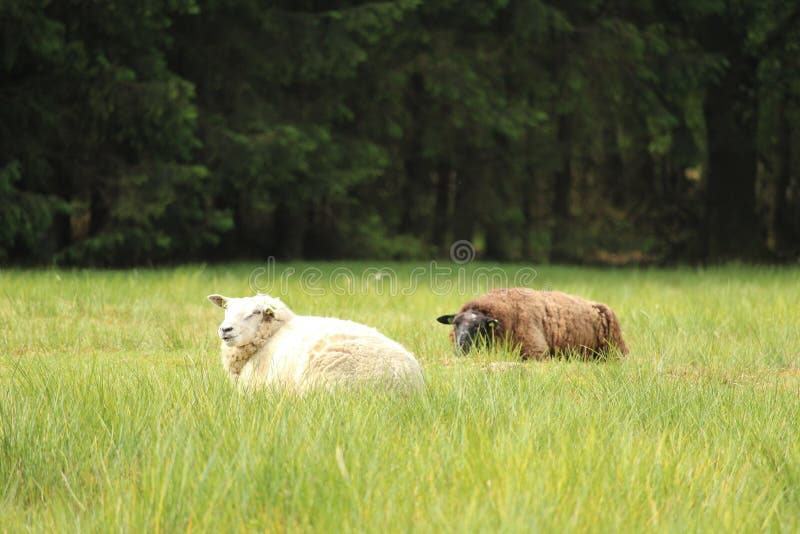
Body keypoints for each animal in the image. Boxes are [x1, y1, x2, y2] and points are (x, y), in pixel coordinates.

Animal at [436, 288, 628, 360]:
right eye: (455, 324)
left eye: (479, 327)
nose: (460, 349)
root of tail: (597, 305)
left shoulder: (536, 352)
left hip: (614, 350)